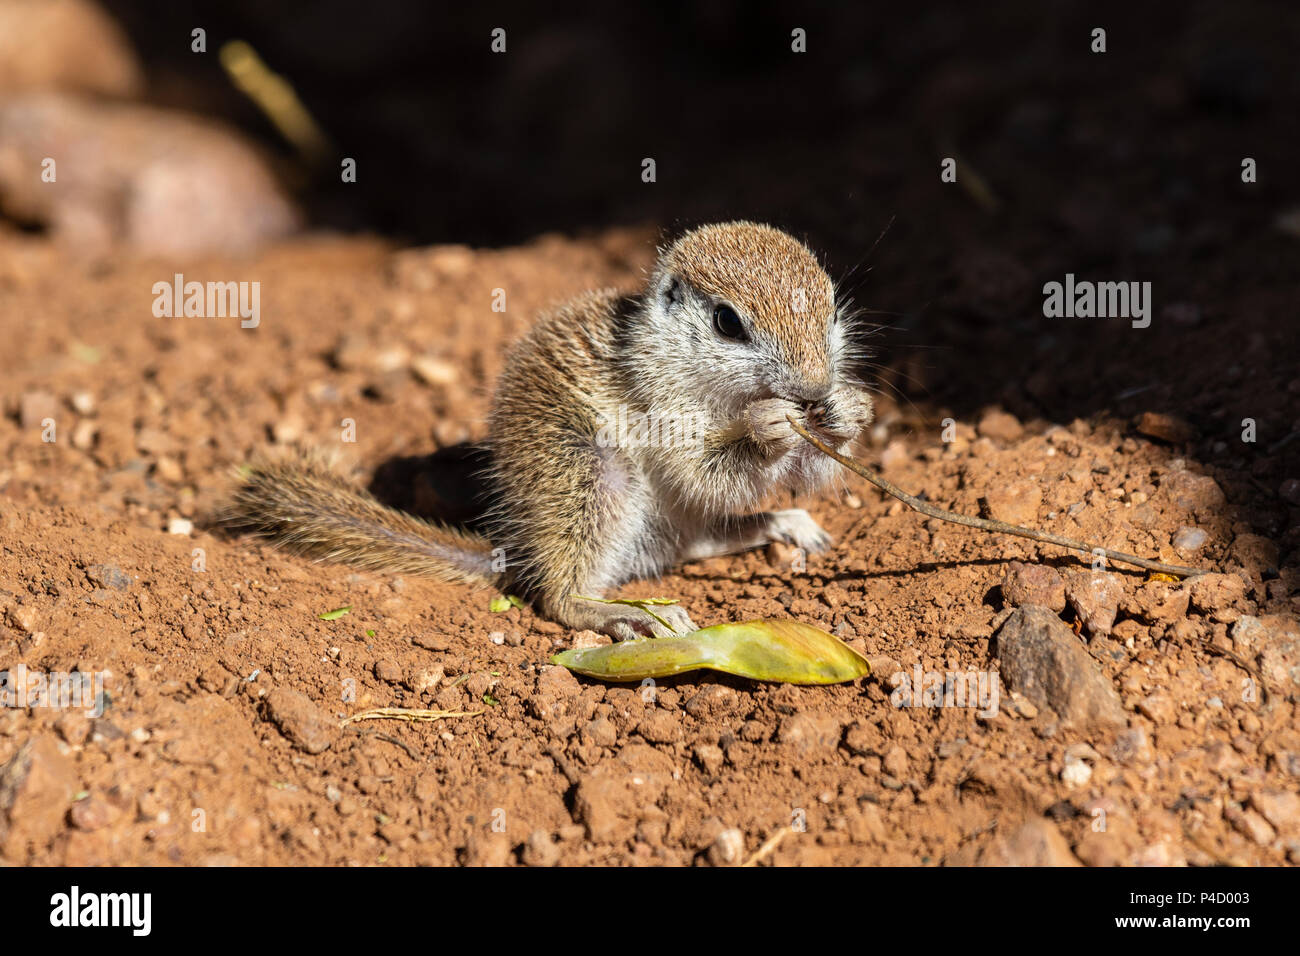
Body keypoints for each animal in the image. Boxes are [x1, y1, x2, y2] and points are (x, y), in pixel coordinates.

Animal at [227, 221, 875, 640]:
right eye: (727, 323)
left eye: (831, 308)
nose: (814, 386)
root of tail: (515, 549)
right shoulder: (659, 407)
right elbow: (704, 471)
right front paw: (770, 424)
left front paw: (849, 409)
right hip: (591, 475)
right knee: (562, 597)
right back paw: (624, 613)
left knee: (700, 539)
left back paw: (781, 523)